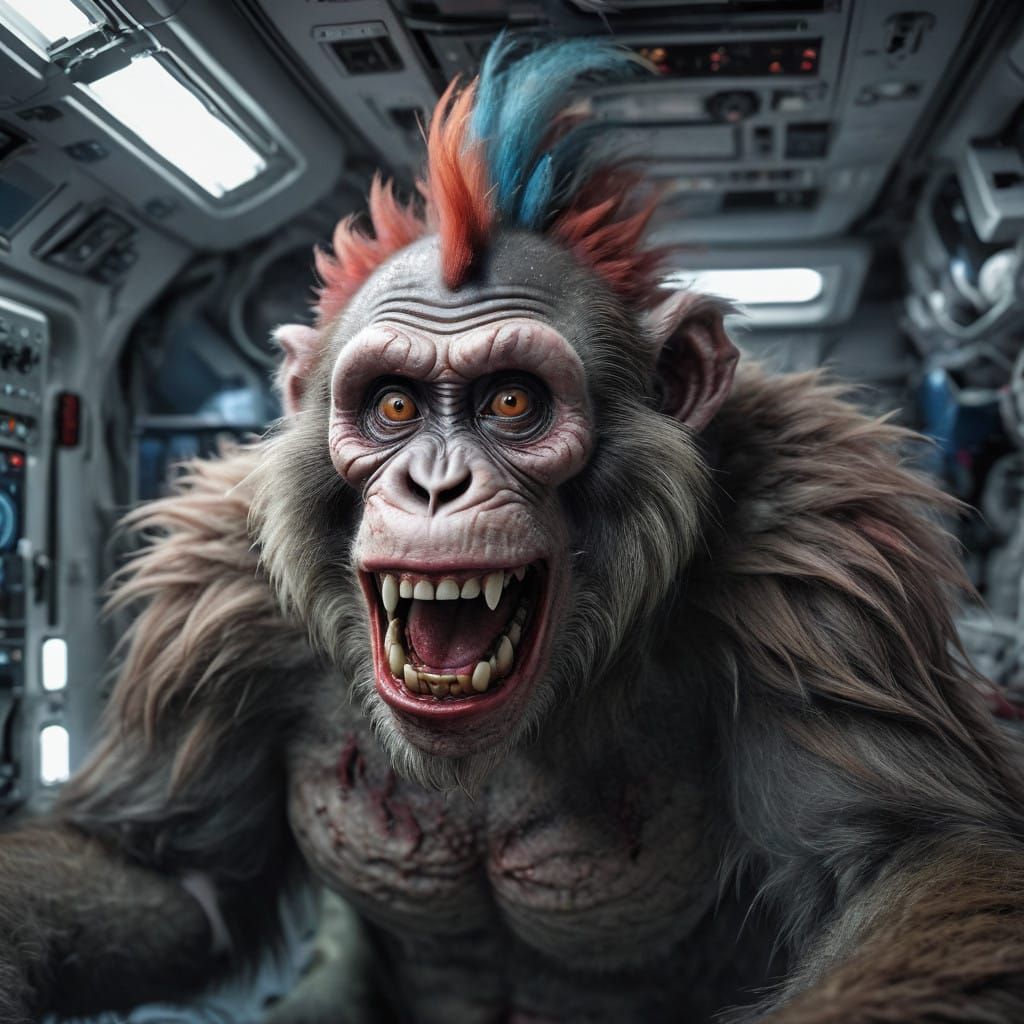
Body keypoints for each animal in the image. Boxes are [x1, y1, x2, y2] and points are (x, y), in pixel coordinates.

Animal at [1, 35, 1023, 1024]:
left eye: (510, 402)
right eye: (394, 406)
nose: (435, 484)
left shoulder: (820, 563)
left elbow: (899, 862)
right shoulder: (214, 597)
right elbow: (172, 873)